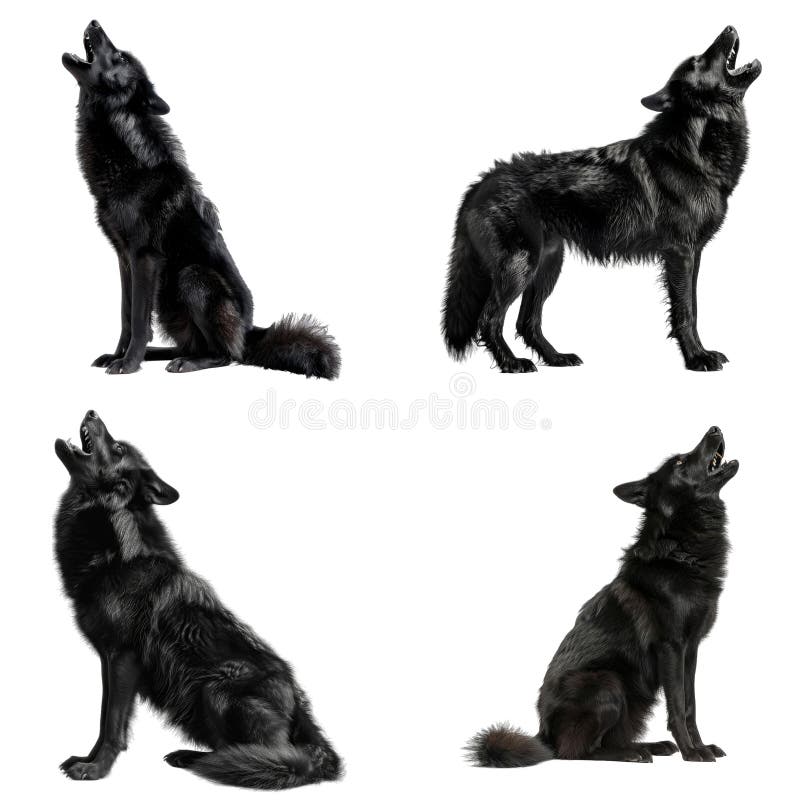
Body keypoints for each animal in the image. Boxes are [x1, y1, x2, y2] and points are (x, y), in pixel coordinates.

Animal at [54, 411, 342, 788]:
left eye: (118, 448)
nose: (92, 412)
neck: (116, 551)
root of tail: (302, 713)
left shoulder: (124, 657)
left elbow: (112, 724)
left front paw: (96, 770)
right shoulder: (108, 658)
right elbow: (104, 719)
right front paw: (87, 760)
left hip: (215, 688)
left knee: (276, 757)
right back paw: (192, 758)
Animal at [62, 21, 340, 378]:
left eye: (120, 56)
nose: (95, 22)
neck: (124, 155)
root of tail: (251, 333)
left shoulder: (144, 257)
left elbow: (137, 320)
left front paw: (128, 364)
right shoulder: (123, 258)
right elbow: (125, 316)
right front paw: (118, 356)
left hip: (192, 278)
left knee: (225, 354)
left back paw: (185, 362)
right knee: (190, 345)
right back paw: (159, 354)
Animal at [443, 27, 760, 372]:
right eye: (698, 60)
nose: (729, 28)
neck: (693, 150)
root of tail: (481, 183)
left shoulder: (694, 254)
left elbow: (694, 308)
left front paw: (699, 353)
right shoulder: (681, 253)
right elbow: (686, 312)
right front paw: (696, 358)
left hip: (548, 266)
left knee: (526, 322)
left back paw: (556, 358)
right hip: (520, 267)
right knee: (489, 320)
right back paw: (513, 364)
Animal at [467, 427, 737, 765]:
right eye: (679, 462)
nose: (714, 429)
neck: (680, 550)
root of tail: (542, 733)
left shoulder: (691, 650)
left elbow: (690, 706)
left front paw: (700, 746)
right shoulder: (672, 647)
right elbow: (677, 705)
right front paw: (692, 752)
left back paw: (650, 746)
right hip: (608, 683)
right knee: (577, 752)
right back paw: (632, 754)